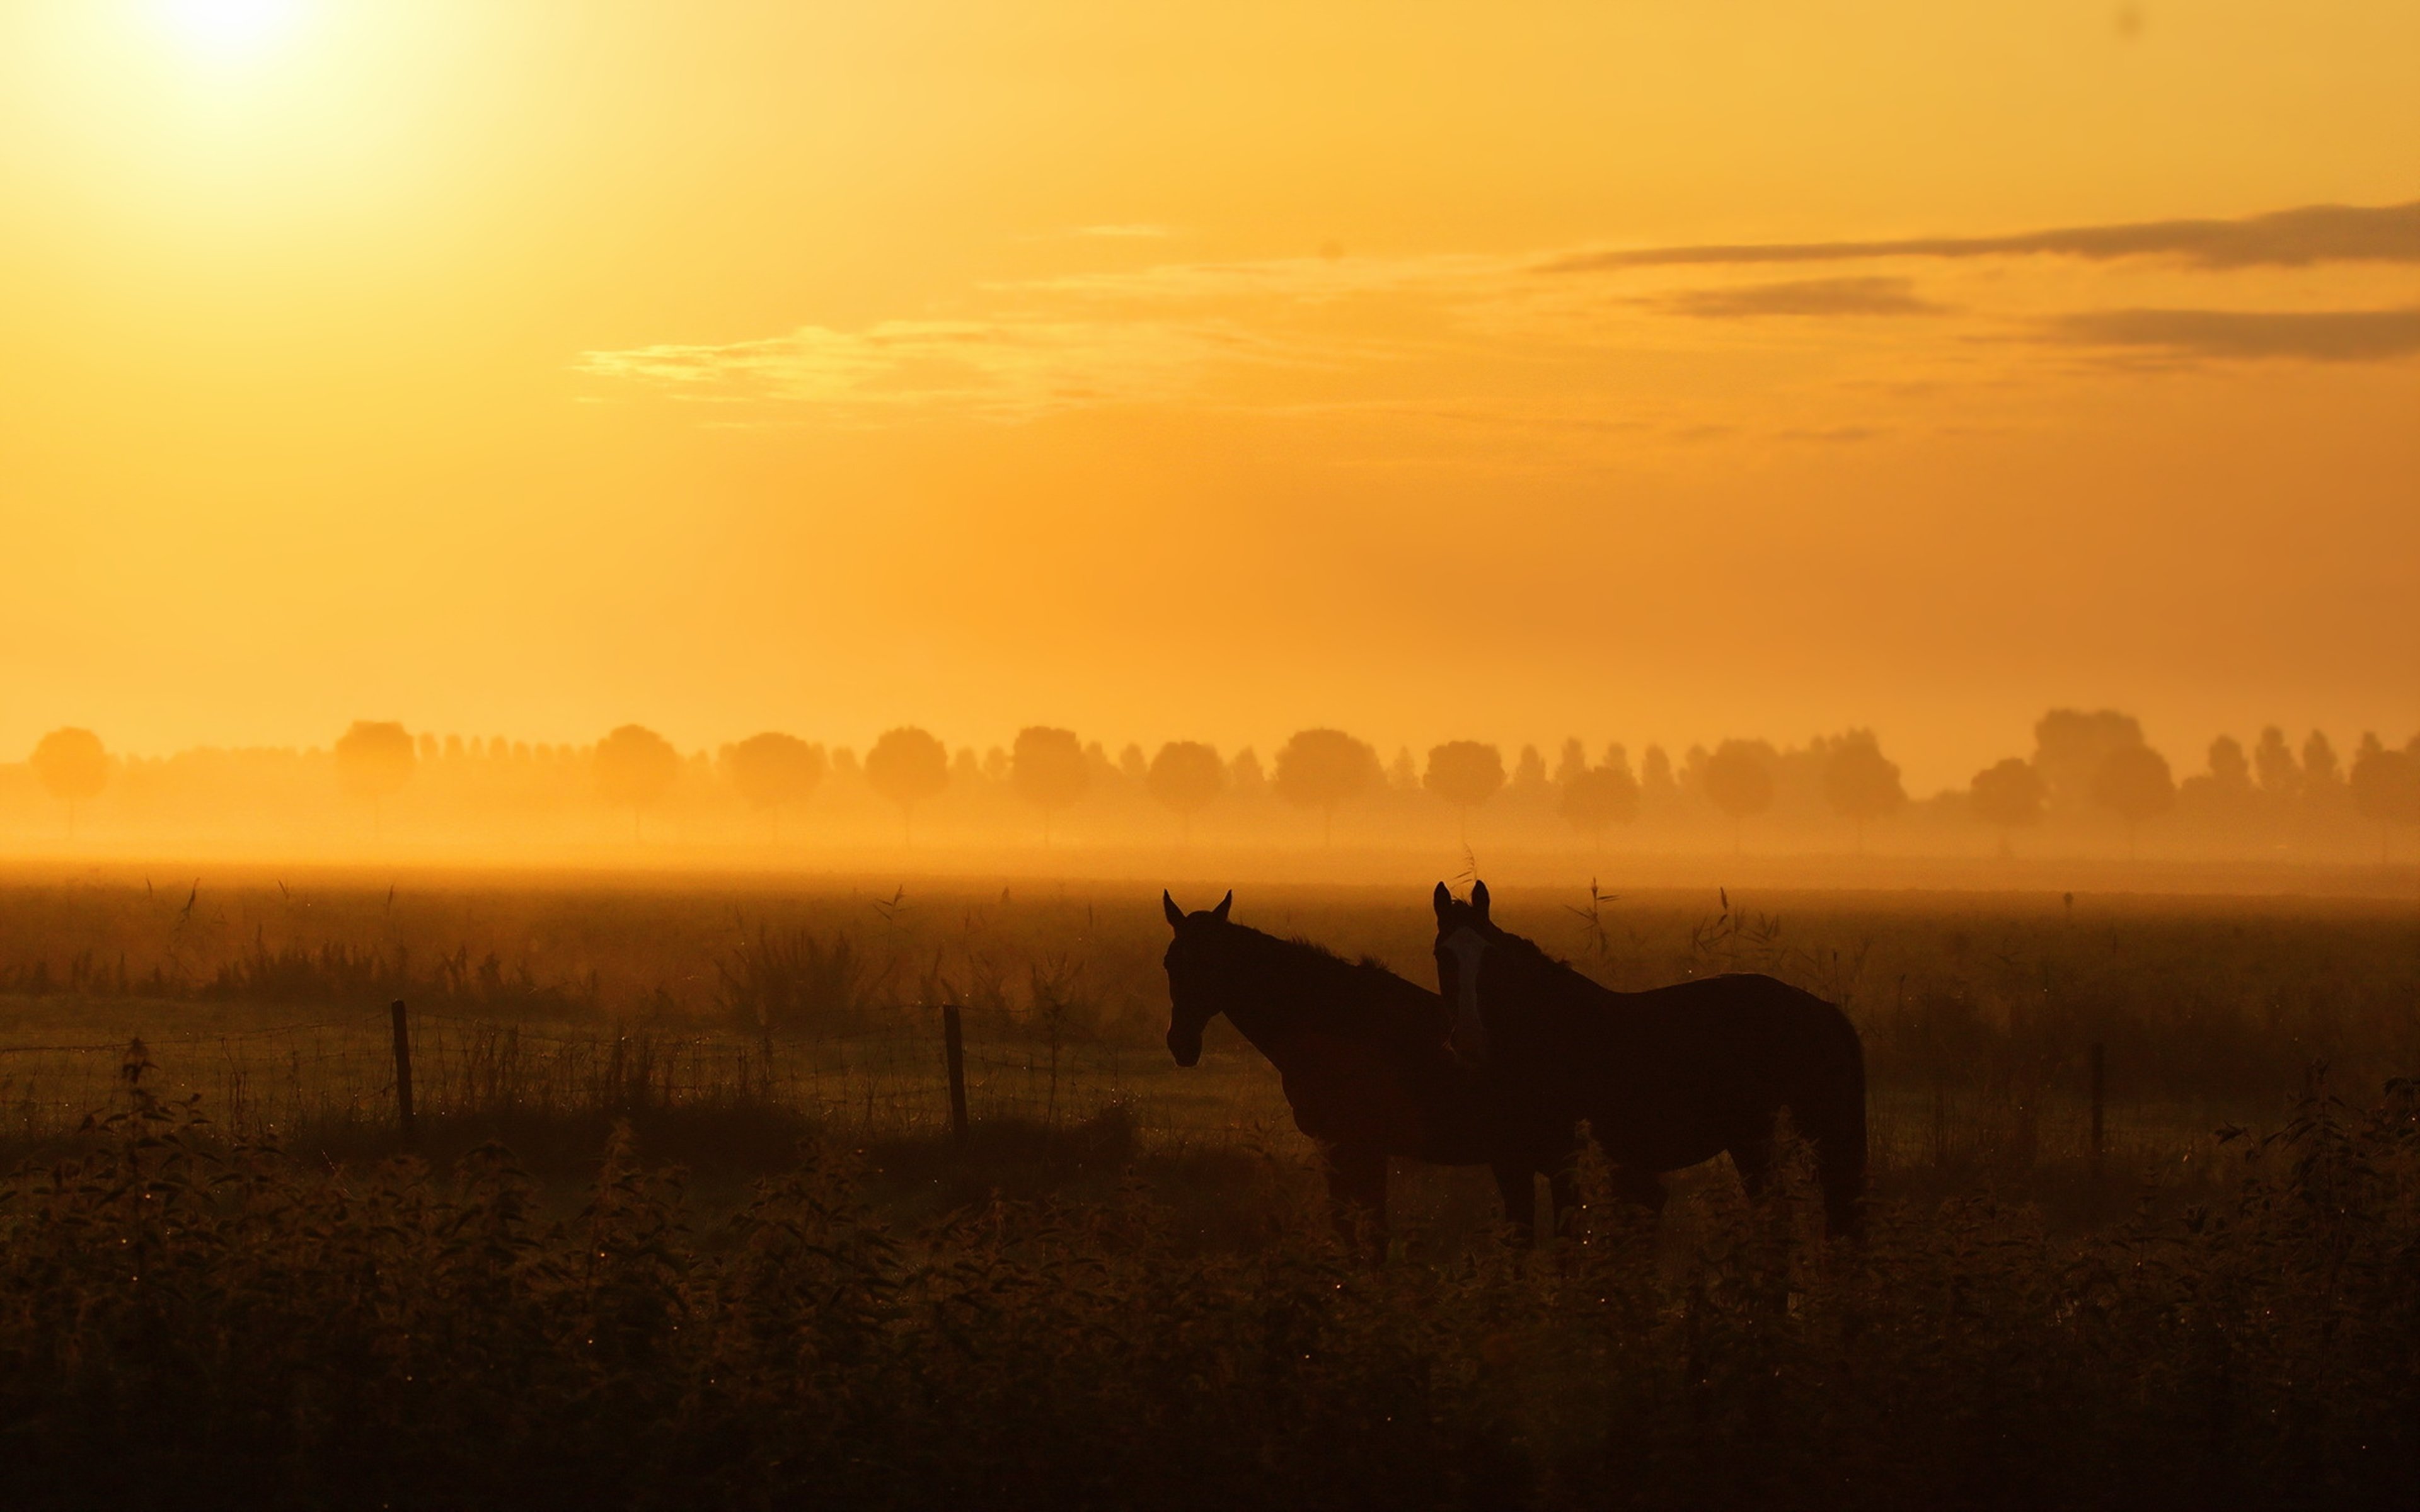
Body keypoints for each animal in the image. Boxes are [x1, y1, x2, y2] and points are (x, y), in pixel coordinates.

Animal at [1162, 890, 1576, 1250]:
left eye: (1213, 963)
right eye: (1170, 962)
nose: (1182, 1044)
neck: (1336, 1023)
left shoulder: (1365, 1147)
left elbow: (1372, 1233)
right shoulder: (1335, 1146)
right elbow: (1347, 1229)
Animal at [1431, 881, 1868, 1238]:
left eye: (1492, 958)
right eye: (1441, 956)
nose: (1469, 1039)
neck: (1546, 1037)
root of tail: (1823, 1011)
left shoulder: (1563, 1170)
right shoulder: (1512, 1169)